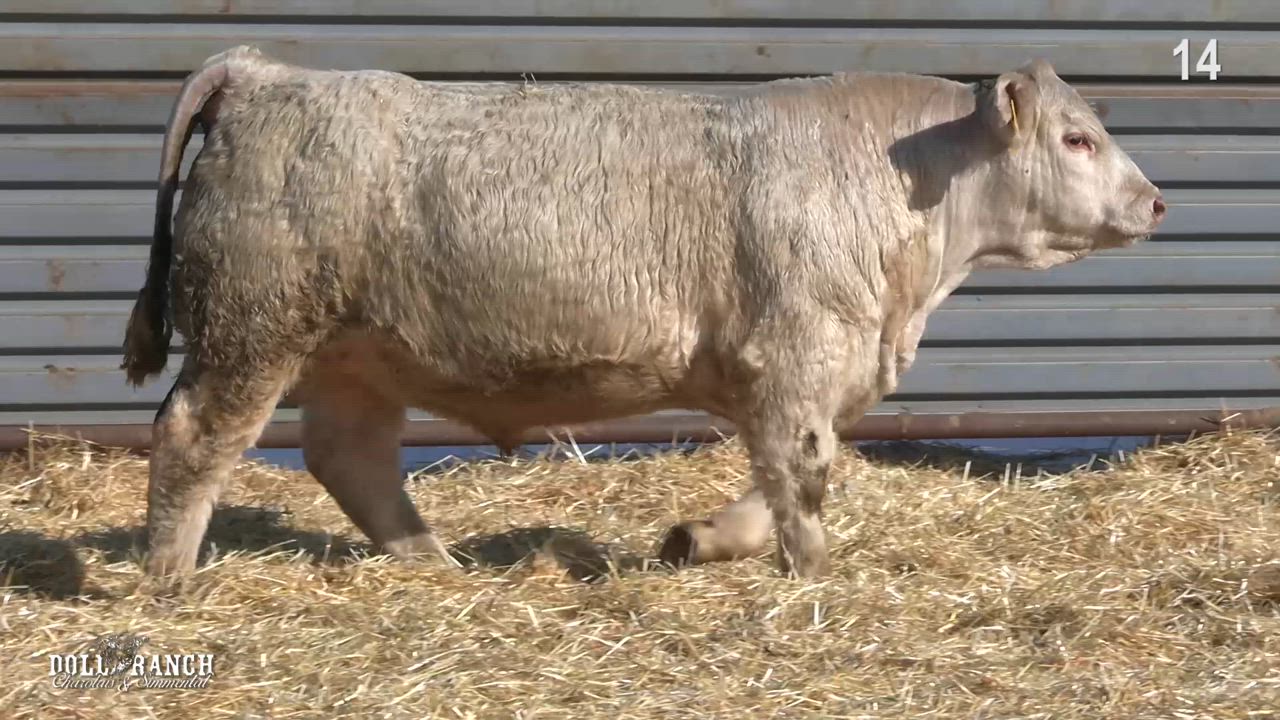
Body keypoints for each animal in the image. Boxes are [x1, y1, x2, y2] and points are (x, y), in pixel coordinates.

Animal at [122, 46, 1165, 580]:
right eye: (1078, 138)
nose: (1156, 201)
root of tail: (265, 71)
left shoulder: (810, 376)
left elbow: (781, 478)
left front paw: (699, 539)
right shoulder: (792, 357)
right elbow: (803, 478)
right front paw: (816, 575)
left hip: (355, 354)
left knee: (351, 456)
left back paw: (435, 566)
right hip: (252, 329)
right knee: (194, 437)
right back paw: (171, 578)